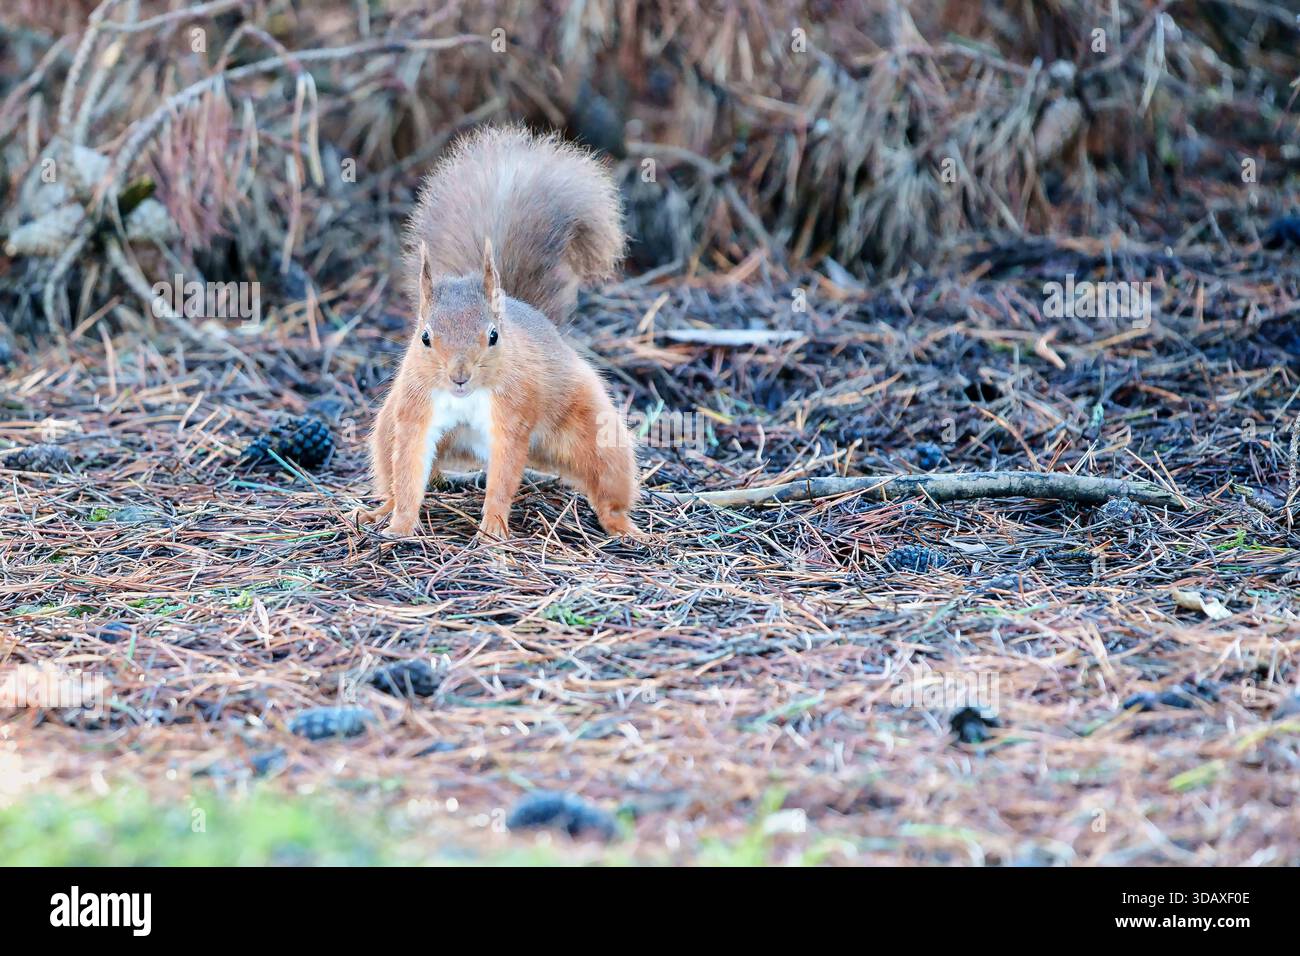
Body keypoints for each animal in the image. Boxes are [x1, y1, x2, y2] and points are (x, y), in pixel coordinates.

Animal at [356, 125, 641, 541]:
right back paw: (379, 512)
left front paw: (491, 531)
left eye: (493, 336)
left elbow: (504, 476)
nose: (459, 376)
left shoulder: (512, 417)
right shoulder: (415, 415)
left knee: (606, 482)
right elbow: (408, 474)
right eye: (424, 337)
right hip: (386, 429)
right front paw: (400, 527)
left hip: (598, 436)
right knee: (392, 476)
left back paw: (623, 526)